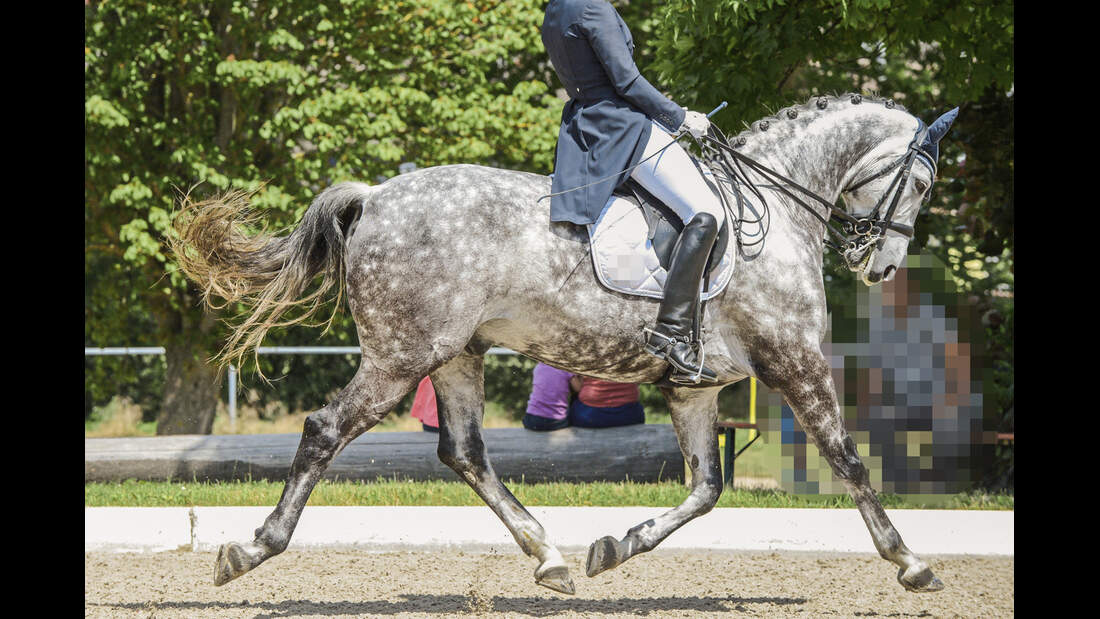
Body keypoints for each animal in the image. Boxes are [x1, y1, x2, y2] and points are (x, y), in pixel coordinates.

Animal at [171, 93, 957, 595]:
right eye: (920, 182)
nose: (882, 267)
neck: (778, 211)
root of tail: (374, 196)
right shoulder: (794, 360)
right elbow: (848, 459)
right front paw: (911, 562)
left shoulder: (695, 387)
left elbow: (706, 488)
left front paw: (614, 548)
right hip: (401, 357)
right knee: (326, 430)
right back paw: (251, 549)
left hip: (455, 355)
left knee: (465, 453)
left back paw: (549, 556)